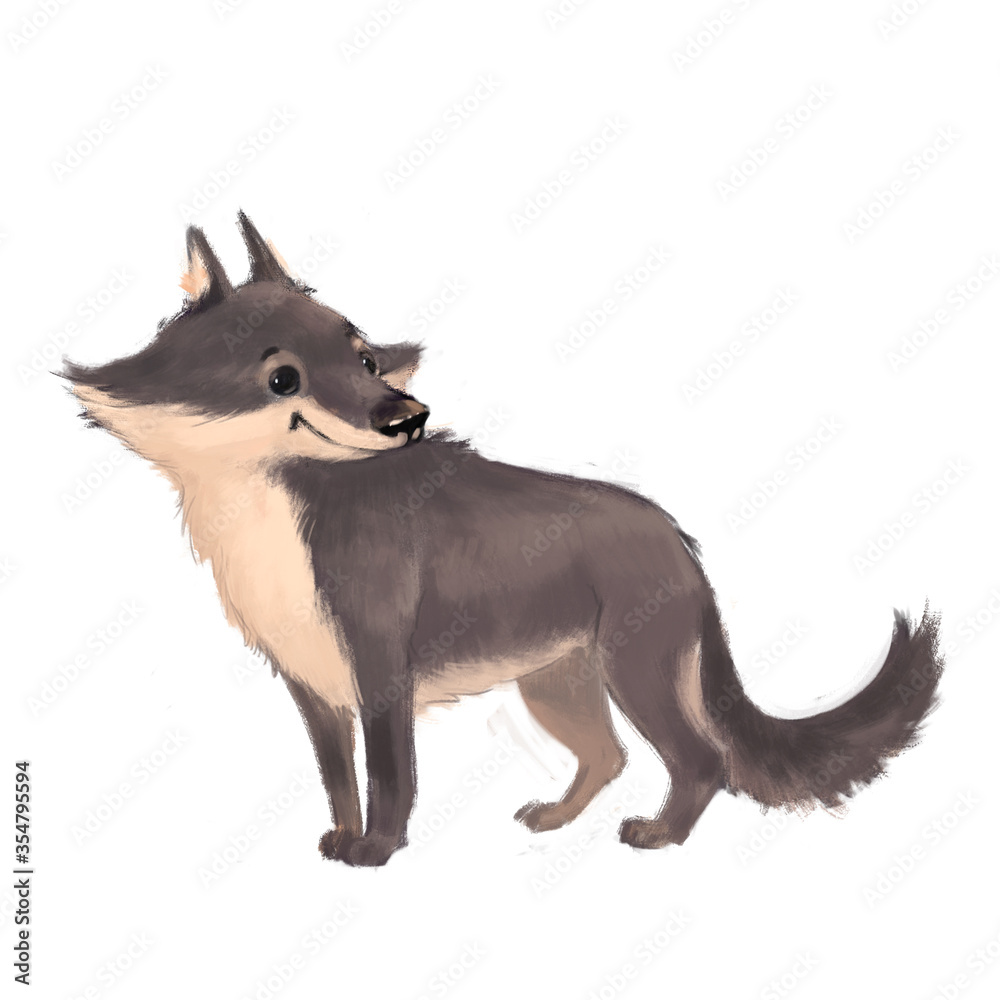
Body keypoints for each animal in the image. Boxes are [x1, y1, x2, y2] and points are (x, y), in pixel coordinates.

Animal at [63, 213, 944, 867]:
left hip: (634, 674)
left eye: (365, 357)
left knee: (704, 761)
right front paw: (343, 839)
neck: (270, 515)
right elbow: (339, 782)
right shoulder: (311, 684)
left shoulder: (379, 669)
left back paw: (659, 838)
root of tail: (675, 537)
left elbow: (389, 779)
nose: (409, 418)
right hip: (557, 685)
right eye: (283, 378)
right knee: (611, 757)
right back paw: (557, 819)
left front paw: (377, 852)